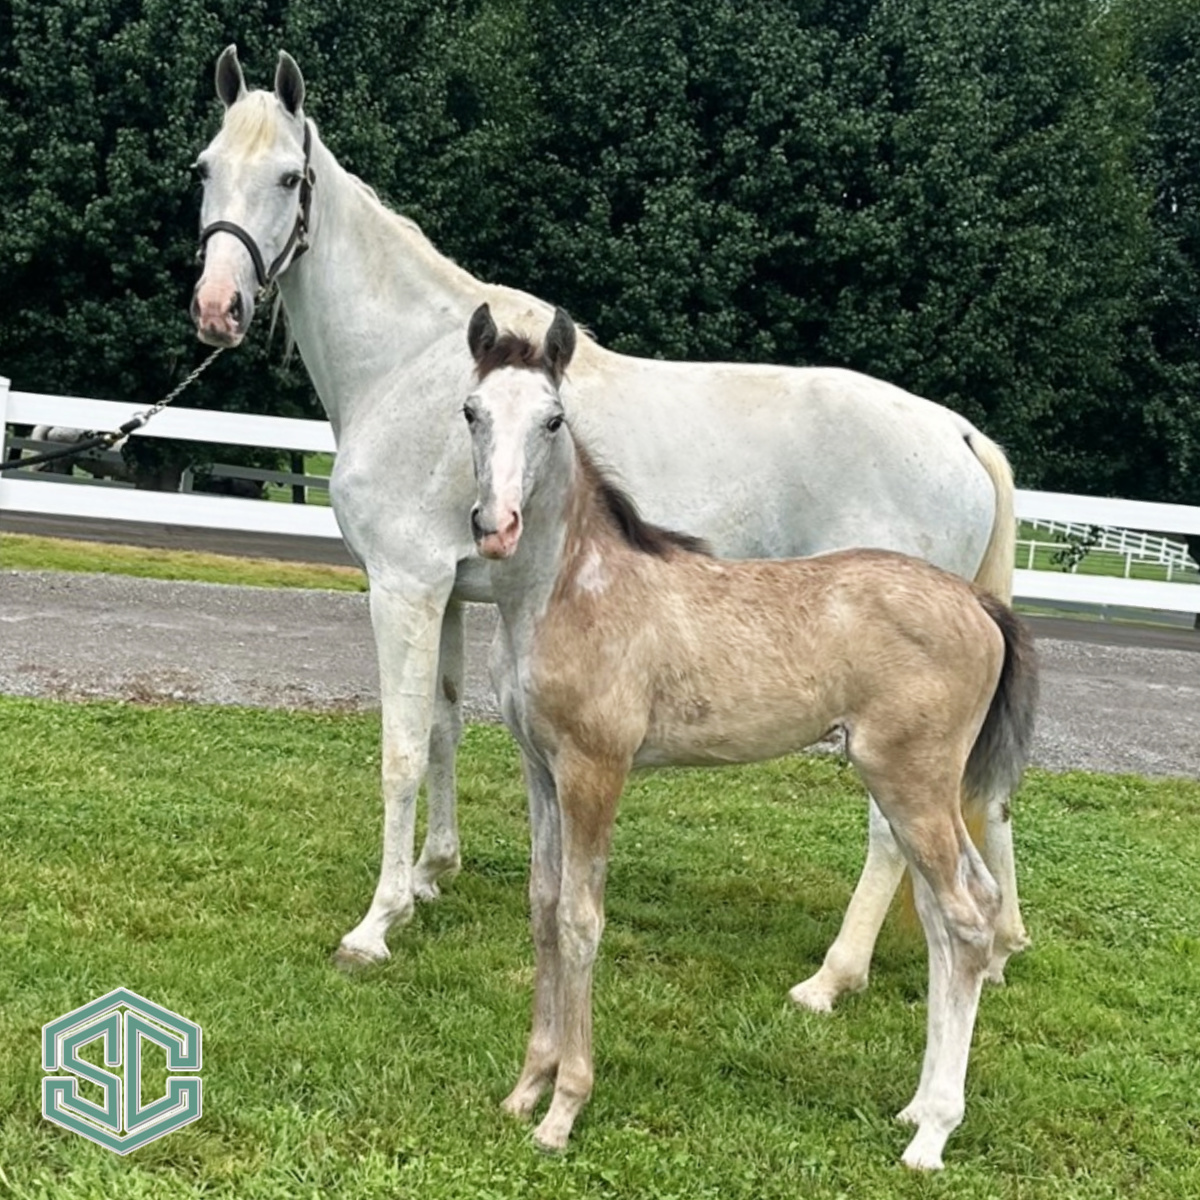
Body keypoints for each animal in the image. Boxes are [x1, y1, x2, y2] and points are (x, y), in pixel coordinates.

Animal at [191, 46, 1029, 999]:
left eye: (290, 177)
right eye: (205, 169)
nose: (217, 308)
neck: (411, 363)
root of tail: (959, 434)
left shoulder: (403, 587)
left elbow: (399, 750)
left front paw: (378, 921)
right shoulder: (448, 593)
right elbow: (441, 729)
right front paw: (433, 875)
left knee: (894, 833)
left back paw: (833, 976)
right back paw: (996, 947)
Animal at [461, 304, 1038, 1169]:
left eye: (552, 419)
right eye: (471, 412)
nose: (495, 527)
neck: (569, 593)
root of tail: (979, 606)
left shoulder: (597, 769)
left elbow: (580, 921)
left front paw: (563, 1111)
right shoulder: (540, 768)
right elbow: (543, 907)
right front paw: (525, 1089)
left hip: (911, 780)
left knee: (965, 920)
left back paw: (931, 1135)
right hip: (920, 788)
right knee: (951, 916)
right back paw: (913, 1108)